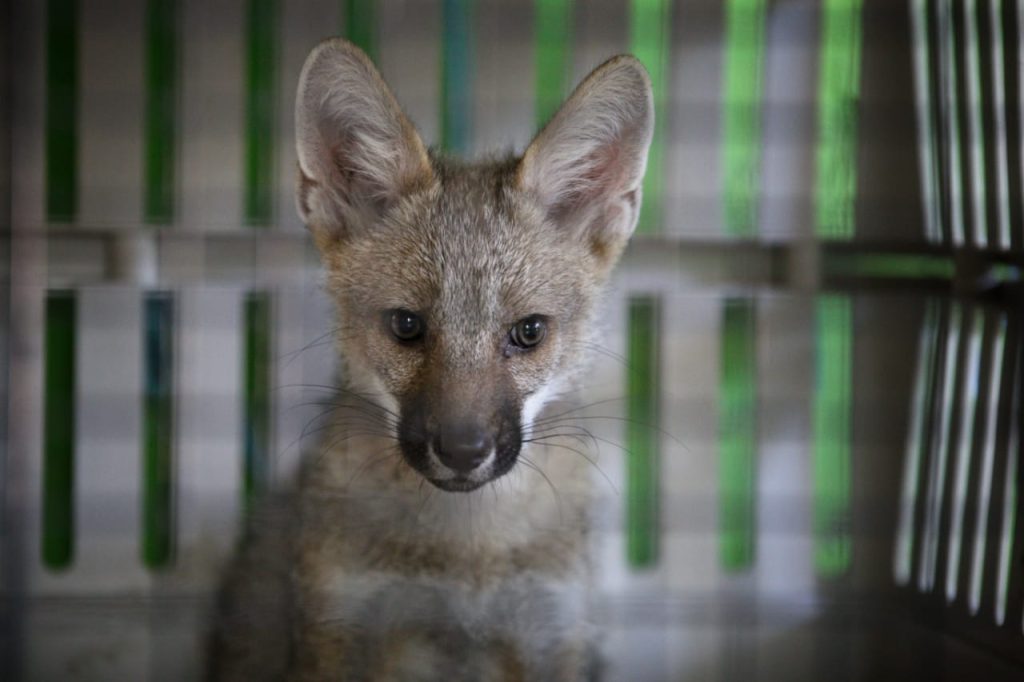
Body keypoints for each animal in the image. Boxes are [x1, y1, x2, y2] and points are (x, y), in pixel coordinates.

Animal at [208, 37, 654, 682]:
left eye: (528, 332)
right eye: (407, 325)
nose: (463, 450)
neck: (465, 554)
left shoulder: (549, 633)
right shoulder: (345, 628)